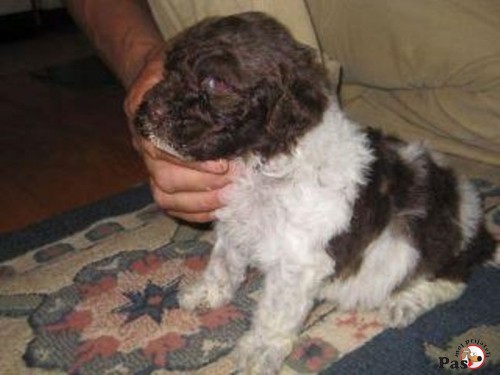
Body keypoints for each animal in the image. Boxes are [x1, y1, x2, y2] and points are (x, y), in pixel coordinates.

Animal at [134, 11, 496, 375]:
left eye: (216, 83)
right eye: (169, 69)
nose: (150, 109)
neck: (262, 165)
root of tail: (479, 229)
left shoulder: (297, 262)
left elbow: (275, 311)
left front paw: (259, 350)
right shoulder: (236, 224)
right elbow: (223, 262)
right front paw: (208, 294)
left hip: (423, 249)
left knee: (452, 281)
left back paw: (405, 302)